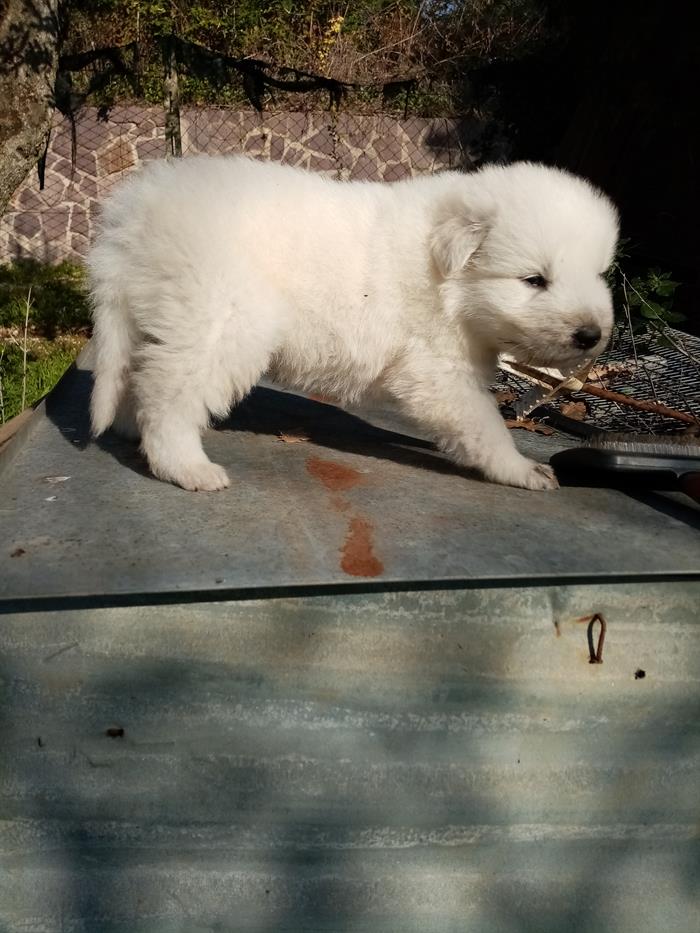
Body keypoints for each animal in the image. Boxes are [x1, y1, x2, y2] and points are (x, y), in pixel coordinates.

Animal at [89, 157, 616, 492]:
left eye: (598, 273)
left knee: (138, 375)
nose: (592, 336)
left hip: (163, 317)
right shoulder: (436, 372)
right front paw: (520, 468)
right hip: (221, 321)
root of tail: (135, 214)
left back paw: (130, 432)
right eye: (535, 280)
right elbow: (484, 423)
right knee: (168, 396)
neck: (449, 282)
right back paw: (186, 467)